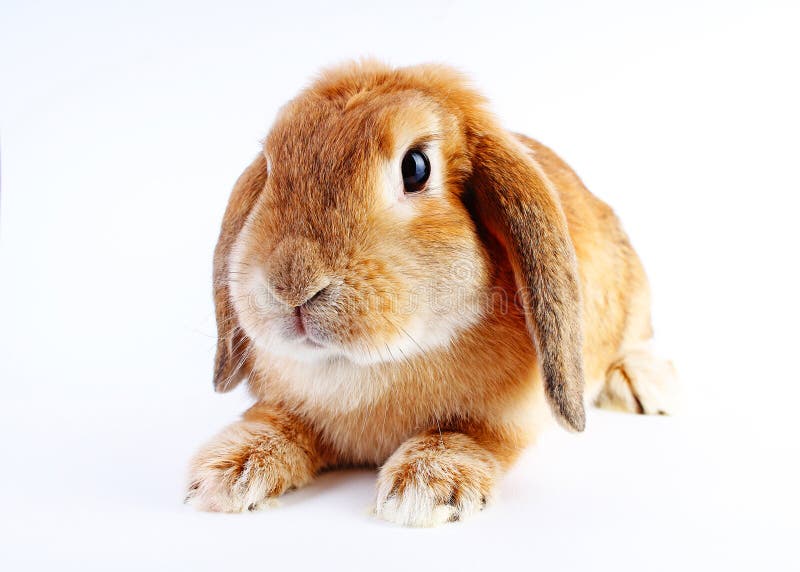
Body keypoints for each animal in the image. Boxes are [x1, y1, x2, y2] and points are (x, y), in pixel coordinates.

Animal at [185, 61, 678, 526]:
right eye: (270, 167)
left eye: (415, 168)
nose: (292, 285)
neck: (367, 366)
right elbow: (277, 421)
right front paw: (224, 473)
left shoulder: (501, 419)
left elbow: (469, 434)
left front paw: (423, 490)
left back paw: (645, 384)